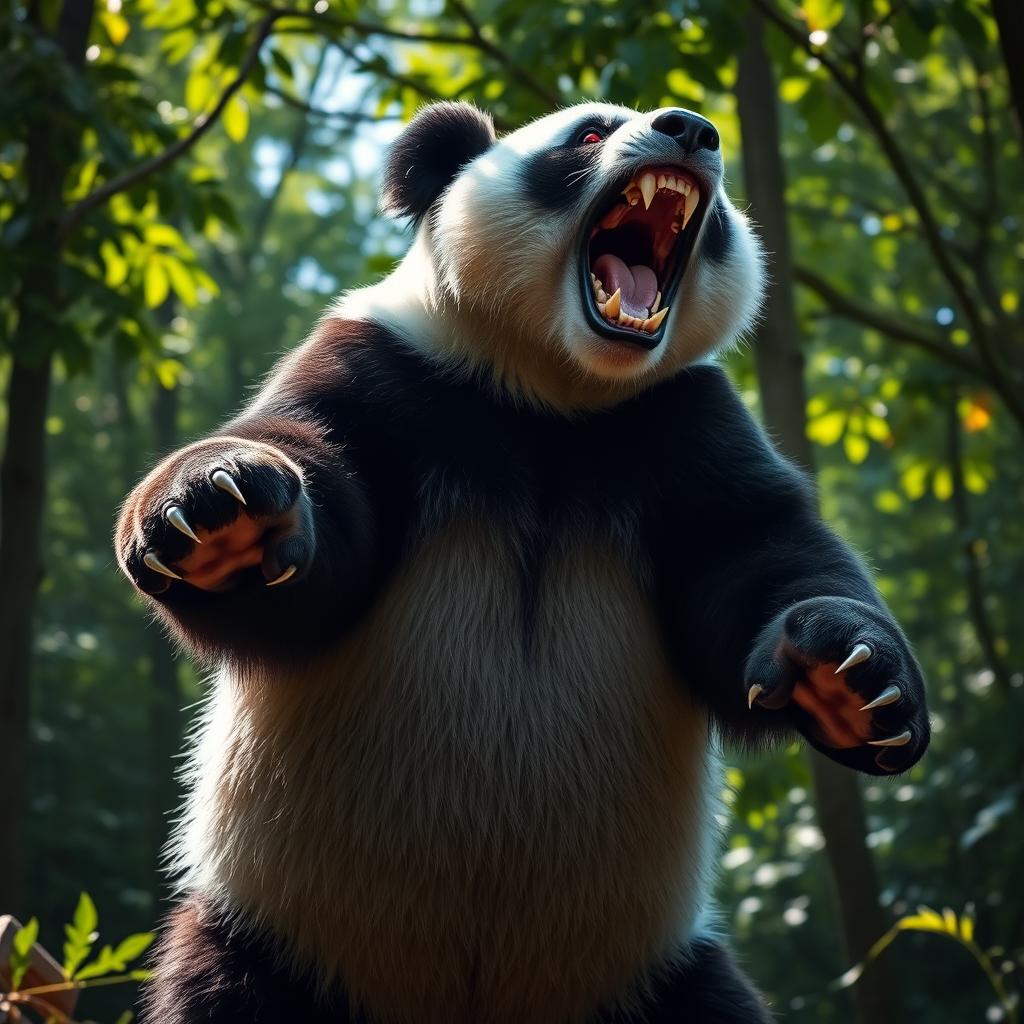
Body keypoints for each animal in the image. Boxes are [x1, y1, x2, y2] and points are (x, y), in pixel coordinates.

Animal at [116, 101, 929, 1023]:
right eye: (590, 133)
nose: (691, 128)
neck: (554, 388)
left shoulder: (684, 423)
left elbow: (758, 559)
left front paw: (848, 683)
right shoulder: (386, 373)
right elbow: (310, 546)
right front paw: (218, 516)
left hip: (651, 974)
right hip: (277, 932)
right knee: (224, 989)